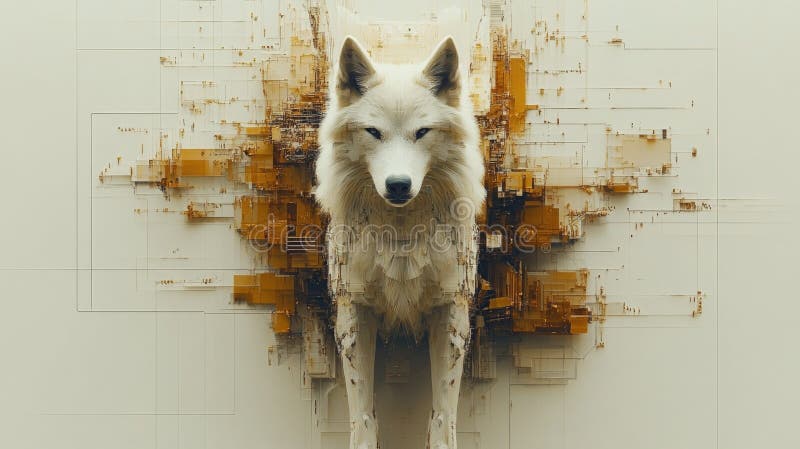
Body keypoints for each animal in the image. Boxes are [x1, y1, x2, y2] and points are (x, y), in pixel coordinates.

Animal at [314, 35, 485, 449]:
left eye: (422, 132)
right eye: (373, 132)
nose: (397, 185)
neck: (401, 233)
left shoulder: (450, 311)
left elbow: (443, 415)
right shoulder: (354, 311)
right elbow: (361, 414)